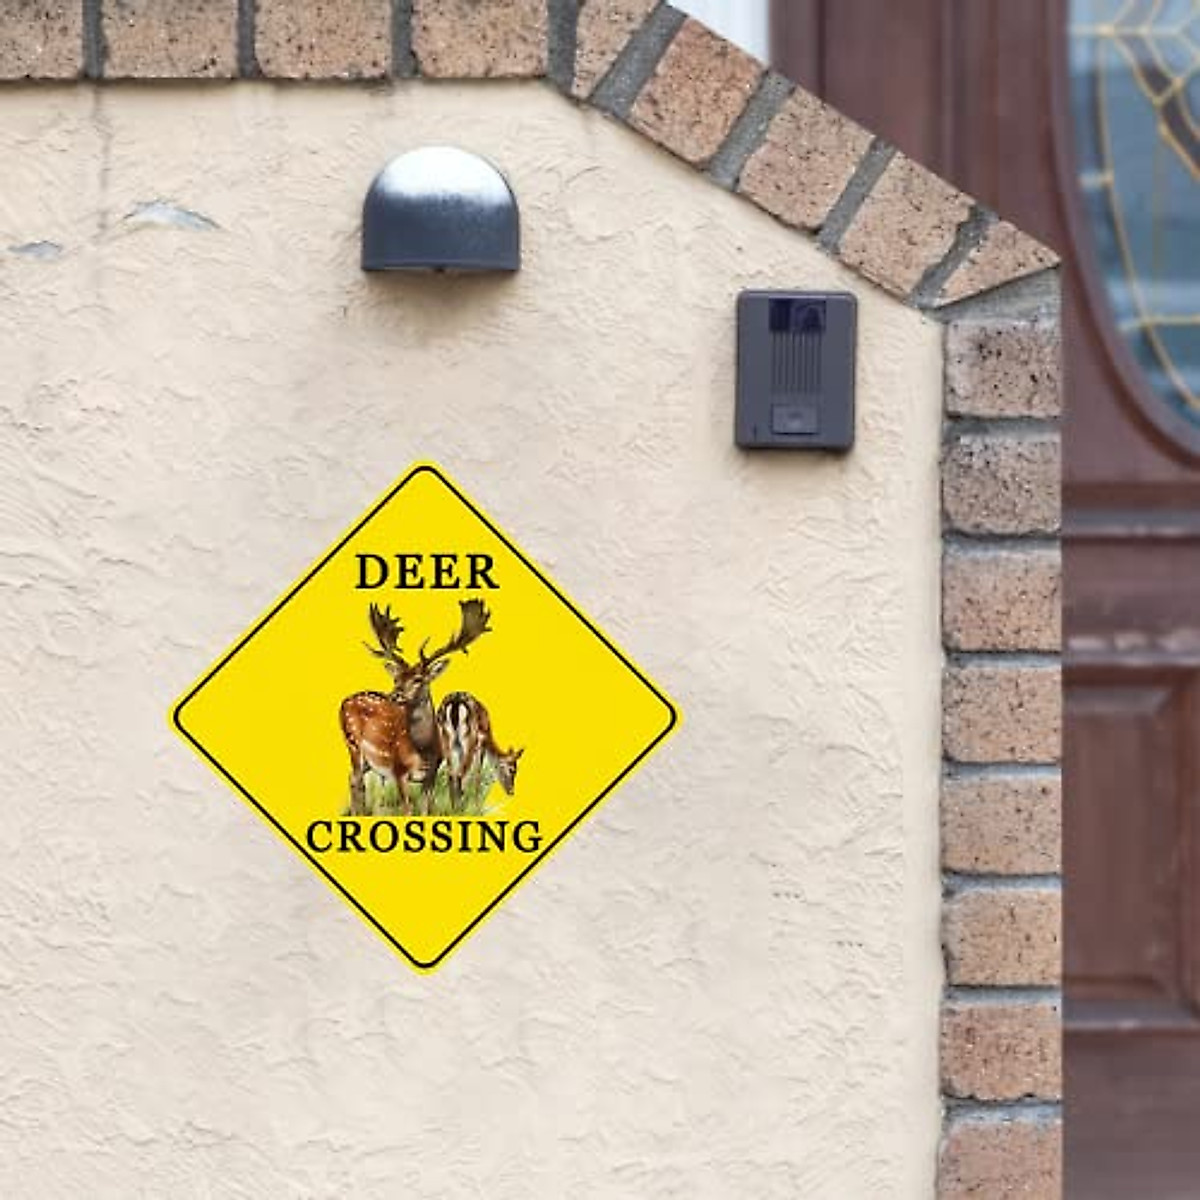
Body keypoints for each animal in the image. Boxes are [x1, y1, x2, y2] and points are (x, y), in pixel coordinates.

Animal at [340, 600, 492, 815]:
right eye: (396, 678)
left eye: (419, 679)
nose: (394, 695)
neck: (423, 751)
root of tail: (345, 701)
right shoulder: (399, 771)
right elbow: (407, 810)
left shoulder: (431, 774)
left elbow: (425, 809)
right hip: (352, 744)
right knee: (355, 779)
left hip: (367, 760)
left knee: (353, 779)